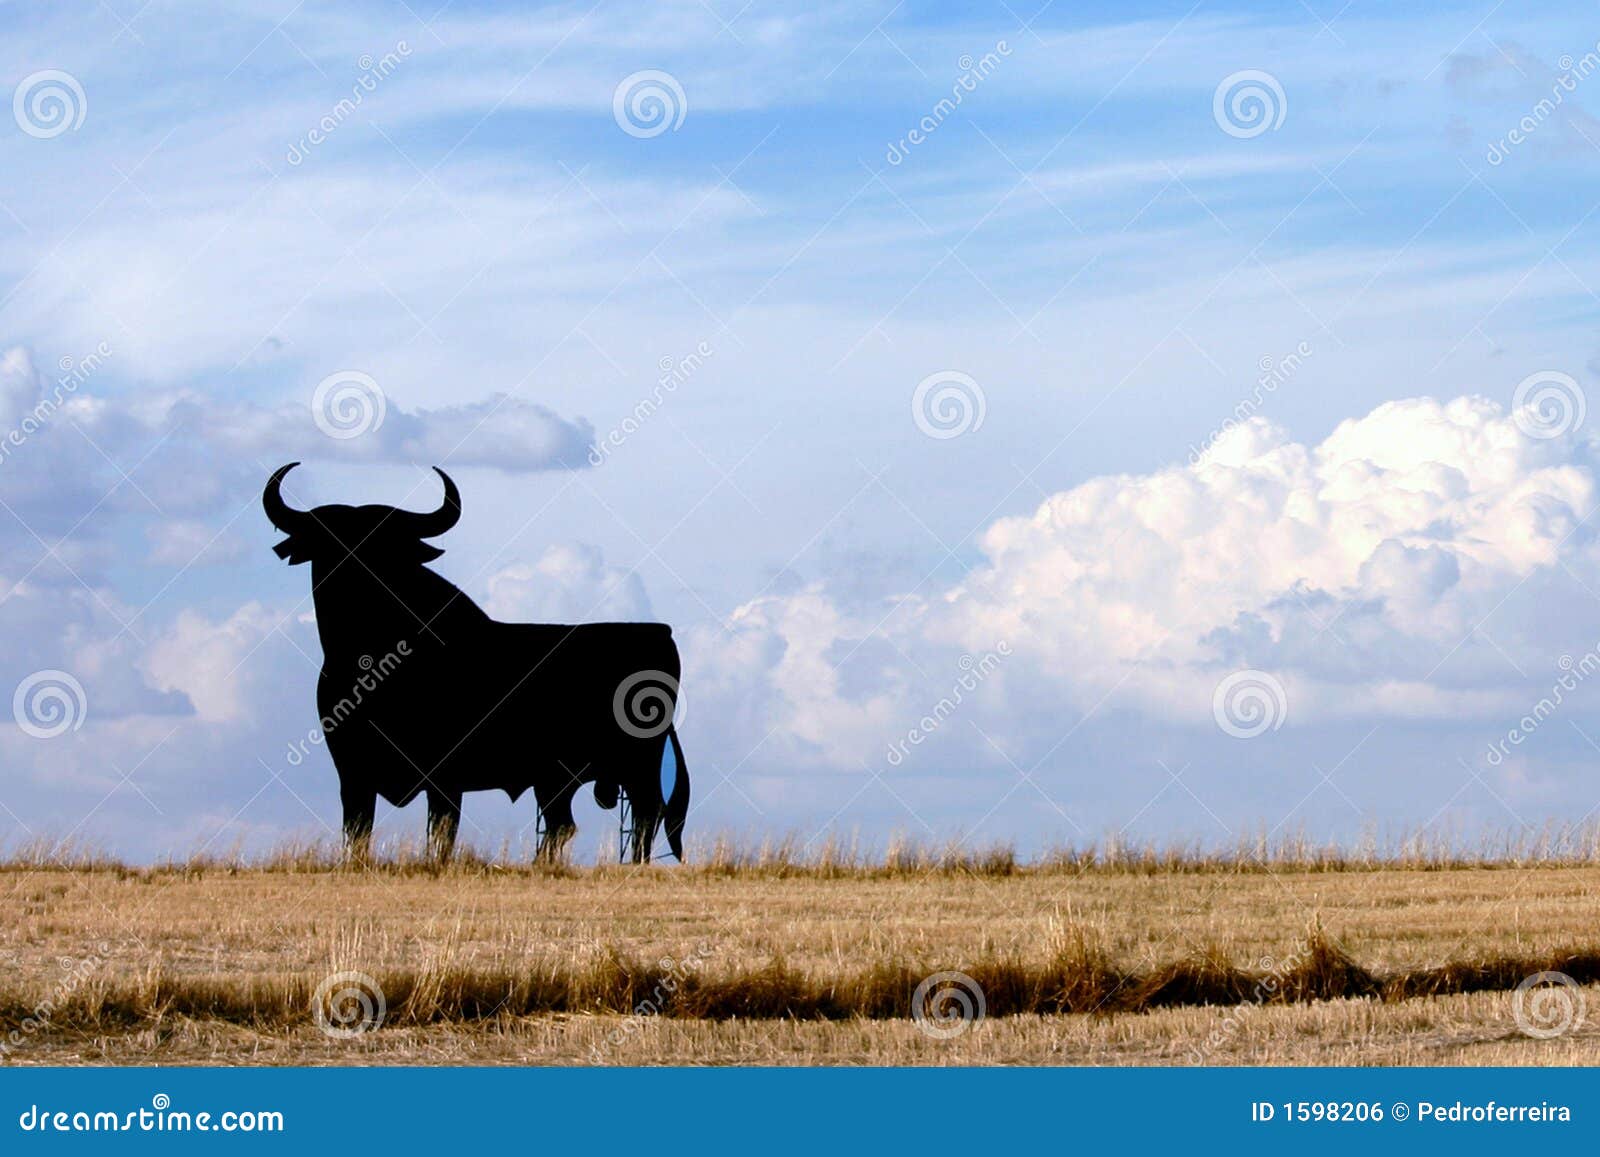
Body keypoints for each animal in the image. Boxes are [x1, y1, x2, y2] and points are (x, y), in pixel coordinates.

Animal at [263, 462, 690, 864]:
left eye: (386, 545)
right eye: (328, 543)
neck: (370, 659)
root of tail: (660, 633)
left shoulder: (444, 775)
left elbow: (441, 831)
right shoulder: (352, 770)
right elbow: (358, 830)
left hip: (636, 764)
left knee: (644, 813)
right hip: (558, 777)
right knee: (565, 823)